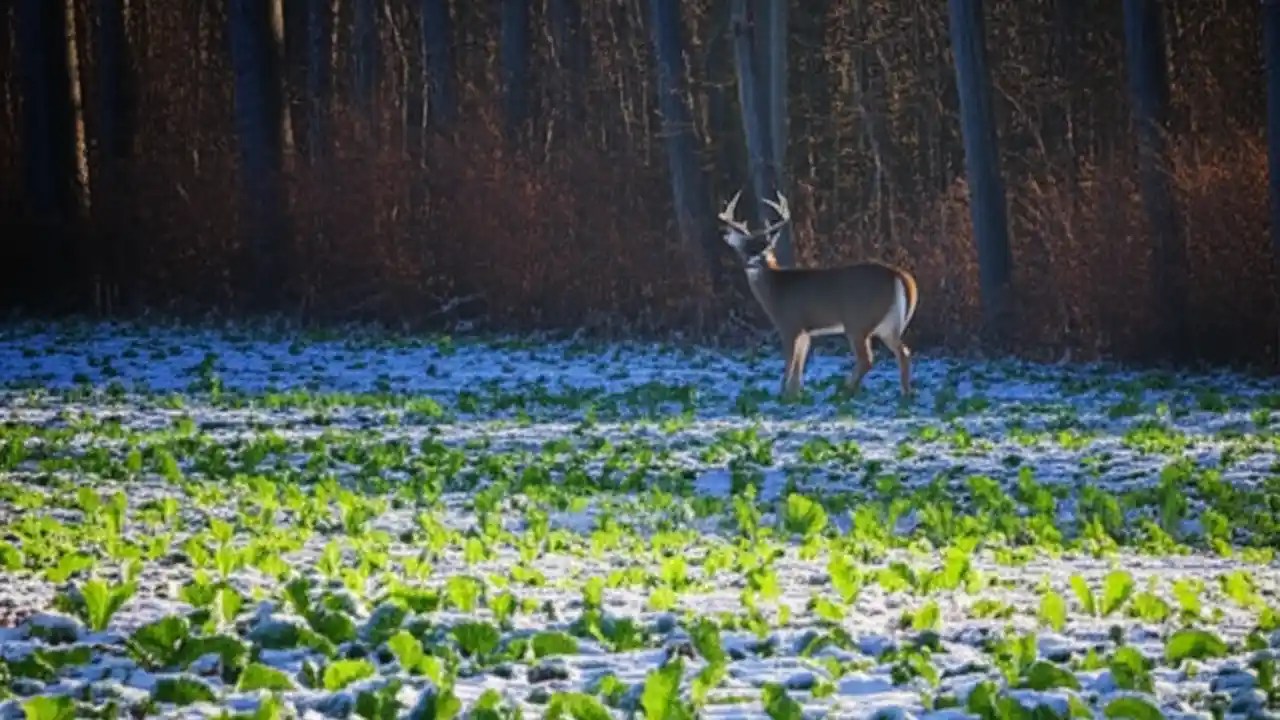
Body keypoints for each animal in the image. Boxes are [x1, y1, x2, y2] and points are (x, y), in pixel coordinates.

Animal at [717, 190, 919, 400]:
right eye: (746, 246)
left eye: (766, 246)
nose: (757, 260)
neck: (775, 289)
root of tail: (898, 275)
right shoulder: (806, 332)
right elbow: (798, 368)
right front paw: (795, 395)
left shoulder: (789, 323)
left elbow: (789, 364)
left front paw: (783, 394)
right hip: (888, 324)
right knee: (903, 353)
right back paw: (905, 393)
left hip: (858, 320)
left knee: (867, 359)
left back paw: (845, 391)